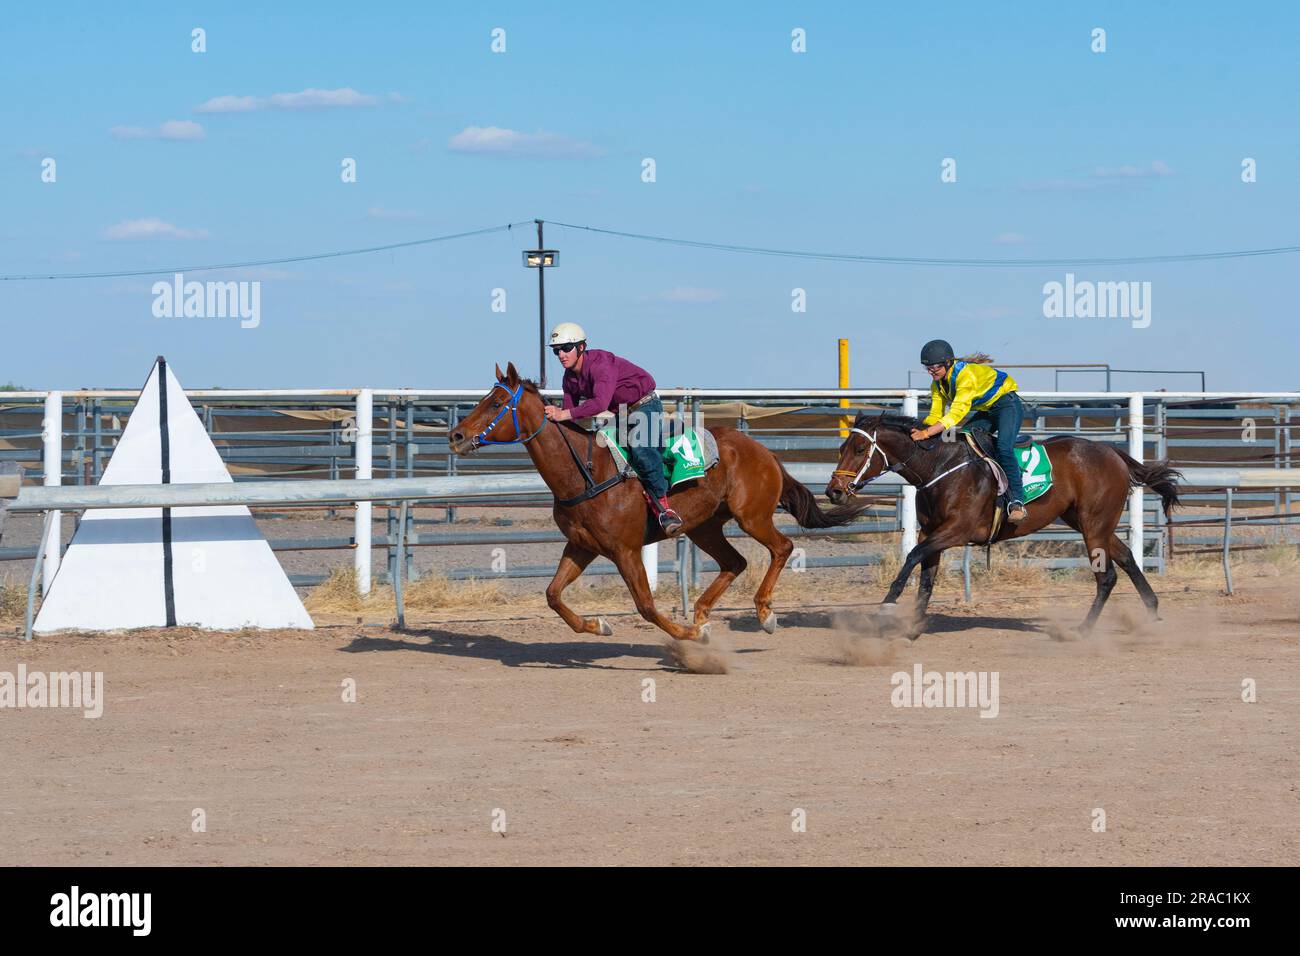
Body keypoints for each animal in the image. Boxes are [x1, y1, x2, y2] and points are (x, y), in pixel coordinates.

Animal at [447, 362, 874, 642]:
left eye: (496, 402)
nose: (455, 436)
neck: (588, 471)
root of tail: (764, 451)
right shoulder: (582, 546)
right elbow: (553, 595)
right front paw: (597, 625)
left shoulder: (626, 550)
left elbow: (647, 606)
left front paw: (691, 636)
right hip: (704, 527)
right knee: (735, 562)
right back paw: (701, 613)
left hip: (751, 516)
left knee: (782, 547)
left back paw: (764, 613)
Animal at [825, 411, 1182, 638]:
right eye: (841, 448)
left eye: (860, 449)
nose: (834, 491)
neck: (941, 467)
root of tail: (1113, 452)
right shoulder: (931, 531)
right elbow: (926, 578)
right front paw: (913, 627)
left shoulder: (958, 530)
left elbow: (912, 557)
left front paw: (888, 604)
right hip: (1090, 523)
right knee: (1128, 559)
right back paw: (1152, 614)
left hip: (1095, 524)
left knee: (1106, 577)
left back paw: (1083, 630)